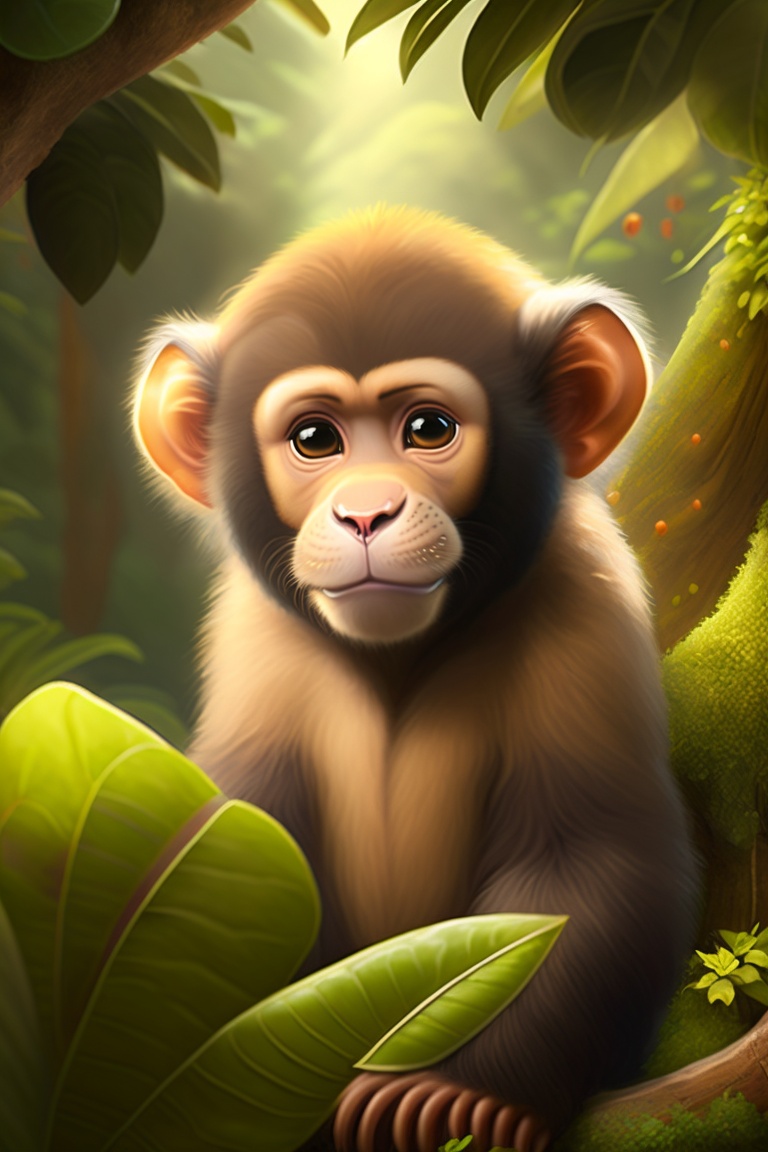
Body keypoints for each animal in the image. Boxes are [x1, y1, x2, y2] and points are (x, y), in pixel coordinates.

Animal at [132, 207, 699, 1152]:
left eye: (428, 429)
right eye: (315, 439)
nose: (366, 511)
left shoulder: (587, 604)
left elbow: (588, 860)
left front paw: (460, 1089)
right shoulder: (254, 643)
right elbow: (244, 849)